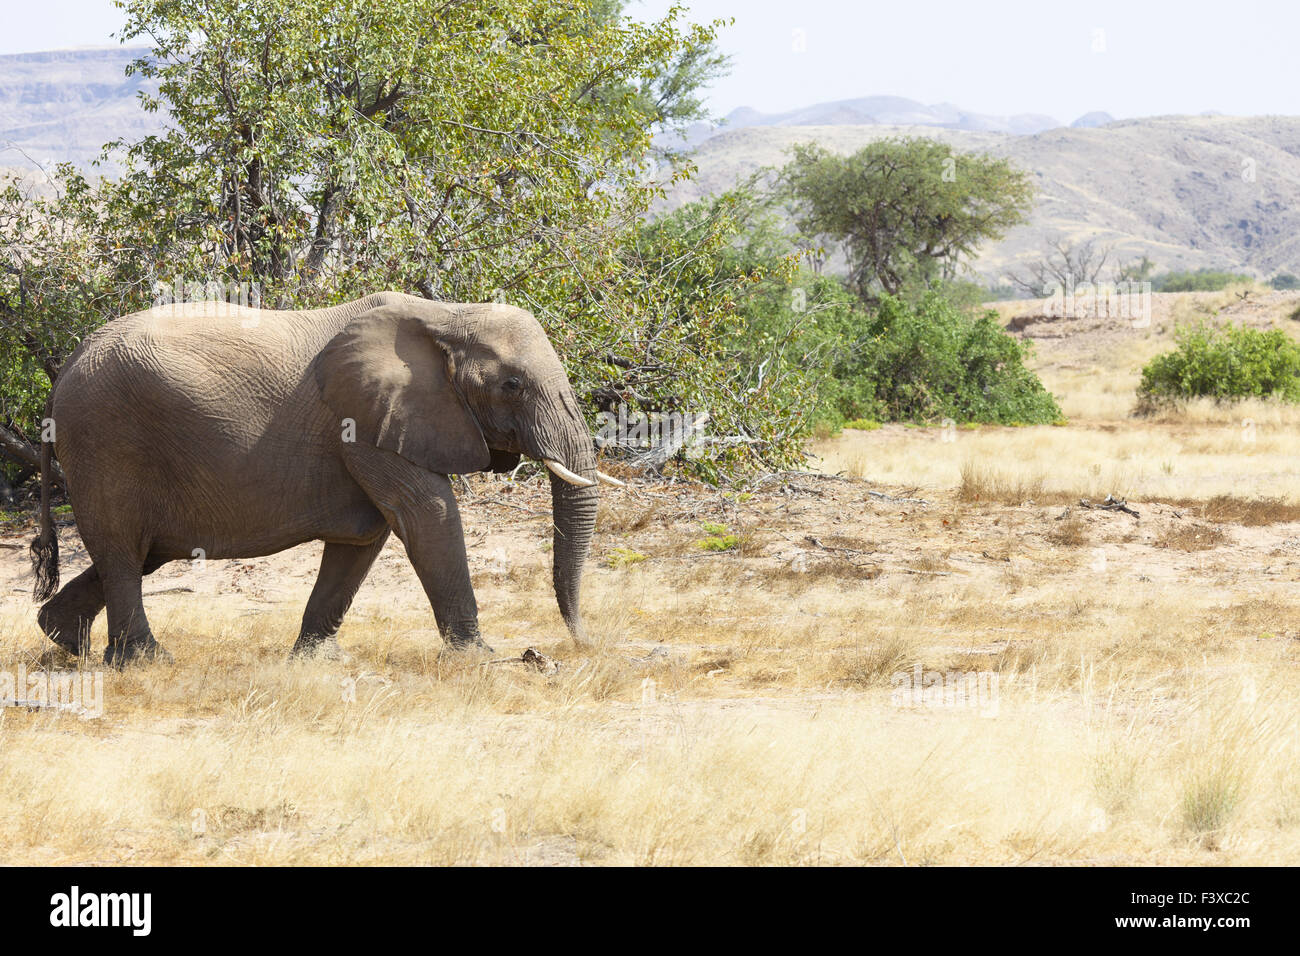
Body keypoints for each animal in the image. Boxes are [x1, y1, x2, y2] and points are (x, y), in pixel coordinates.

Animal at [28, 291, 623, 665]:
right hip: (106, 440)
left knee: (141, 553)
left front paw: (318, 659)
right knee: (123, 551)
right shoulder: (364, 419)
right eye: (512, 386)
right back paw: (146, 662)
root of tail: (63, 373)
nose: (579, 644)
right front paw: (478, 658)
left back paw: (65, 639)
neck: (446, 315)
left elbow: (364, 537)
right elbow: (427, 514)